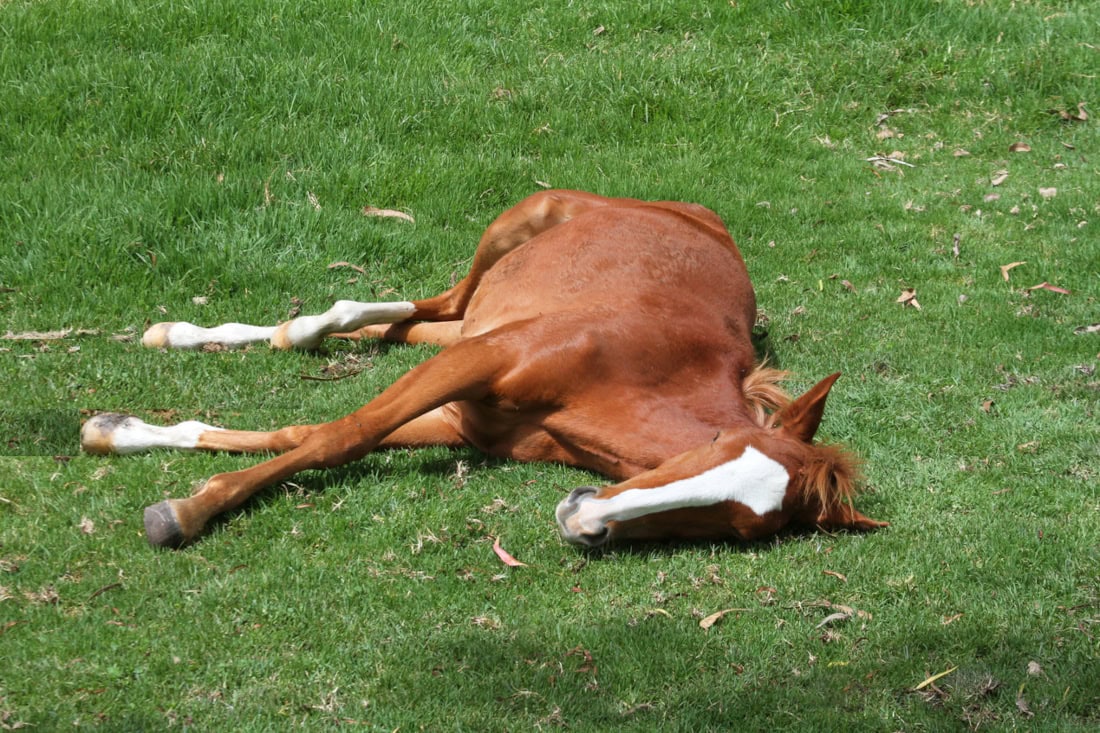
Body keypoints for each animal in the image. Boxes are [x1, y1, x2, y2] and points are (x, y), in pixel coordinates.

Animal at [81, 190, 887, 549]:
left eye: (743, 527)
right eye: (716, 446)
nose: (582, 517)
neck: (628, 372)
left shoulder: (467, 421)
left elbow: (301, 432)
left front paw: (123, 433)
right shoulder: (483, 359)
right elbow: (340, 435)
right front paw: (181, 512)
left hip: (470, 321)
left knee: (409, 325)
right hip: (516, 226)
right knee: (416, 306)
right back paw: (223, 331)